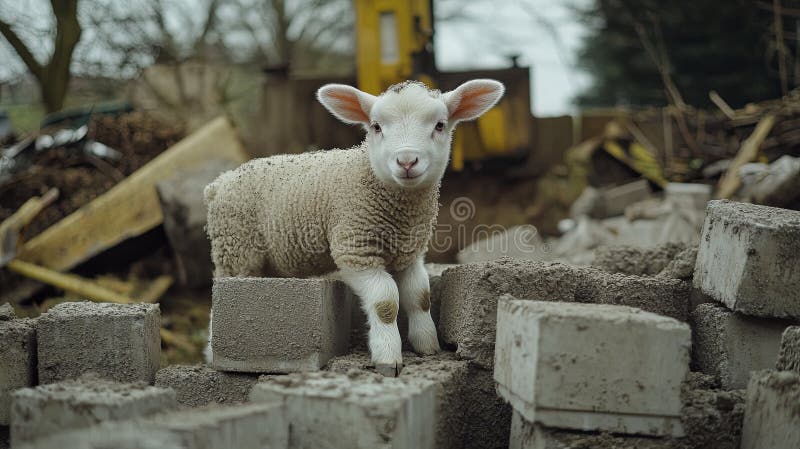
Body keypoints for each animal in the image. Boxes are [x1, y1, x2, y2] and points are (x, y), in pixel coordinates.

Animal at [205, 79, 505, 376]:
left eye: (440, 125)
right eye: (376, 126)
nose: (407, 161)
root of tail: (219, 182)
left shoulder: (410, 252)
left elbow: (420, 296)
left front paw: (427, 345)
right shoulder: (354, 249)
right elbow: (386, 301)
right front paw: (388, 357)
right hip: (236, 249)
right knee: (221, 297)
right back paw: (211, 352)